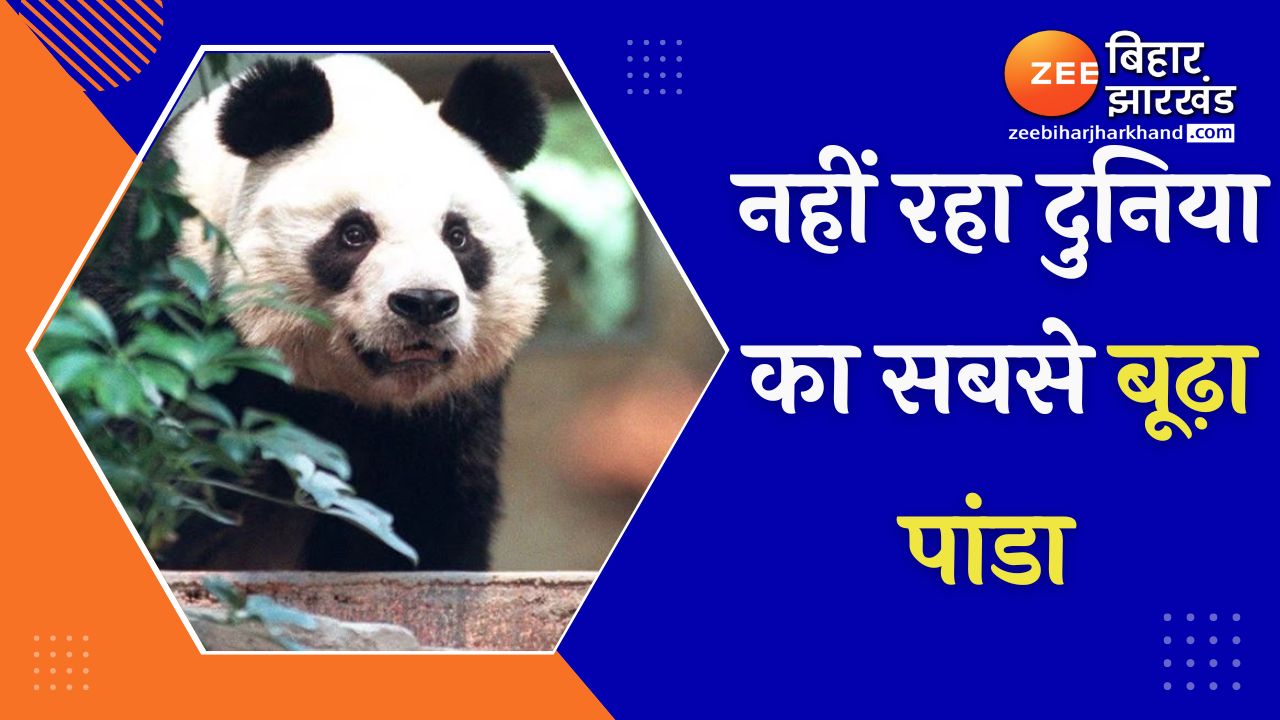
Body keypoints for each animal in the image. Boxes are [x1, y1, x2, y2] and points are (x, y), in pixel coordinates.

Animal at [81, 55, 549, 571]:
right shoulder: (164, 273)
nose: (424, 303)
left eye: (458, 236)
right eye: (354, 233)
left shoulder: (444, 411)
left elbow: (428, 505)